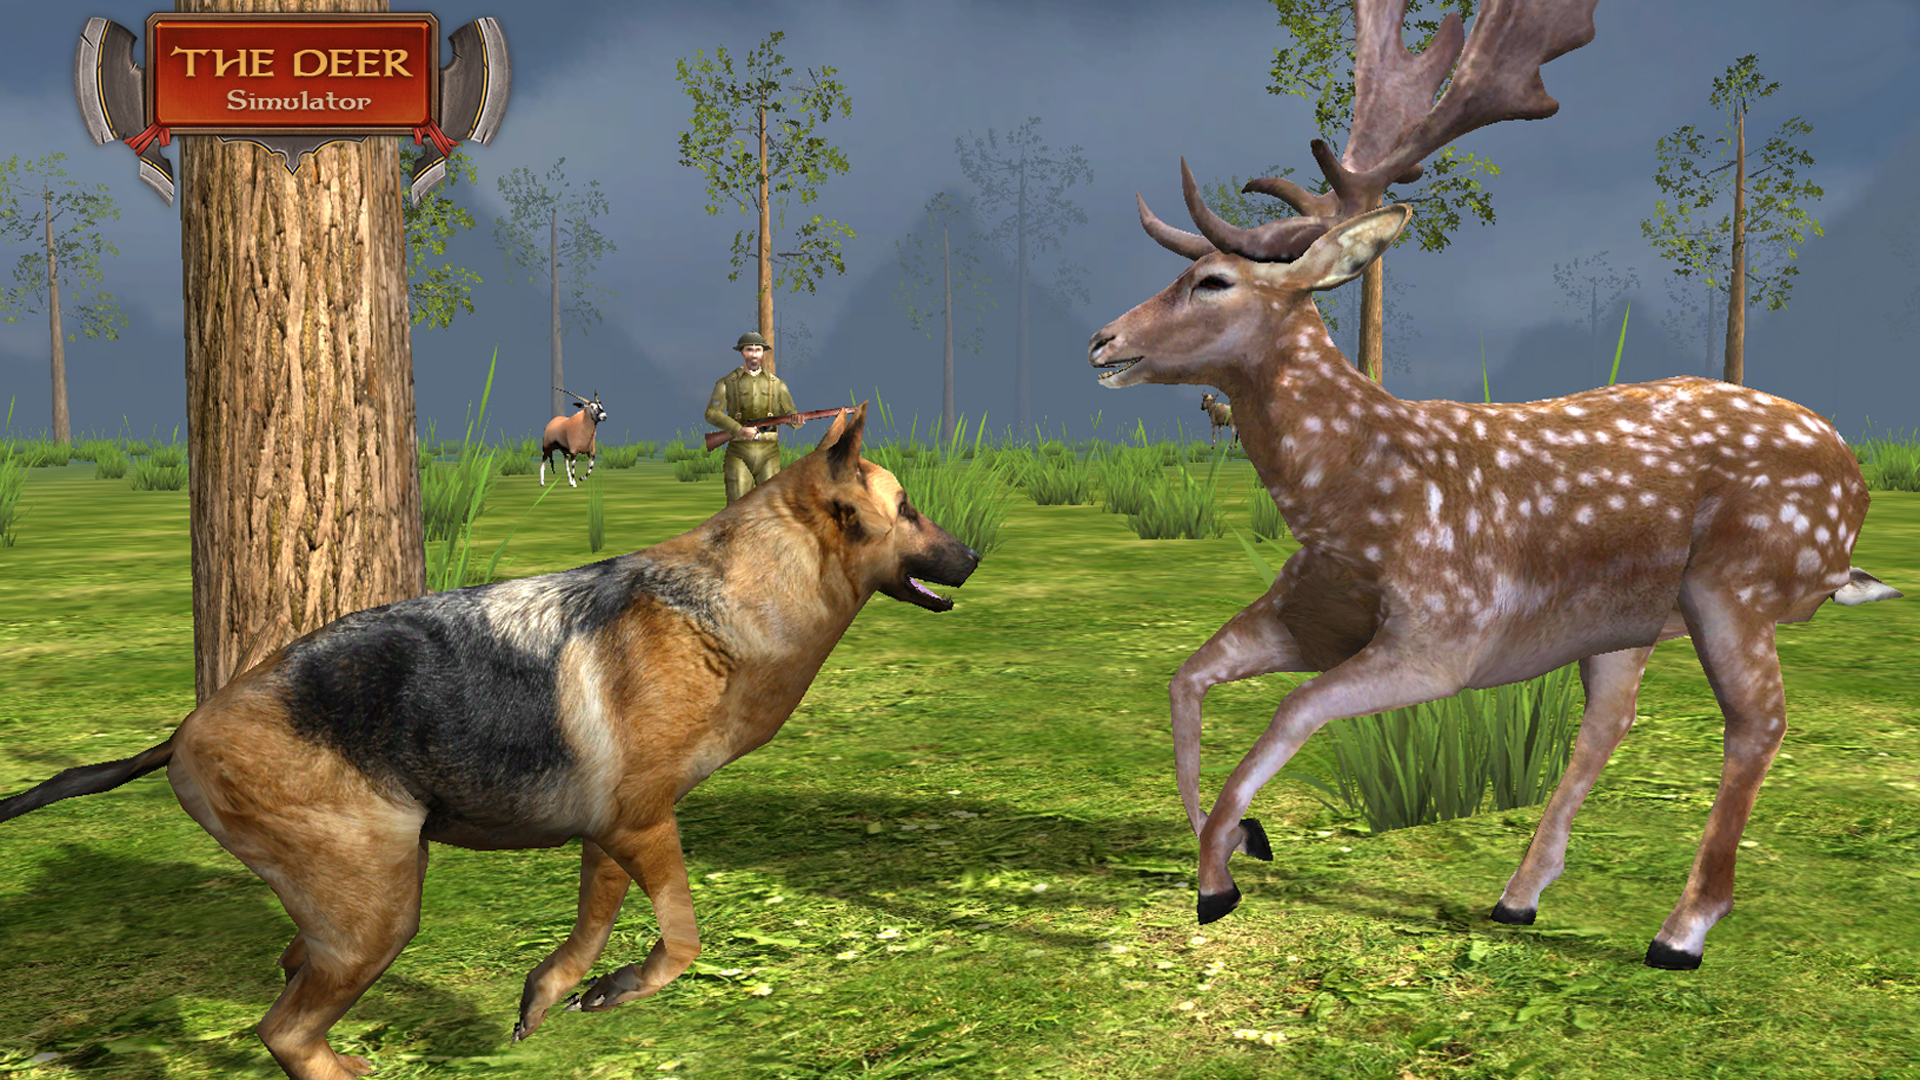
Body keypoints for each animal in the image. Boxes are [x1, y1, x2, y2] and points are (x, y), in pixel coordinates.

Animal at [1085, 0, 1904, 971]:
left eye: (1211, 280)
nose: (1102, 340)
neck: (1354, 501)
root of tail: (1851, 488)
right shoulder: (1305, 614)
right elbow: (1187, 680)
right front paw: (1242, 838)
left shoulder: (1448, 636)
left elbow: (1292, 711)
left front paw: (1219, 877)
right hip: (1627, 620)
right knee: (1611, 723)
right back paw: (1518, 897)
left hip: (1736, 580)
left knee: (1759, 723)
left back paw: (1681, 932)